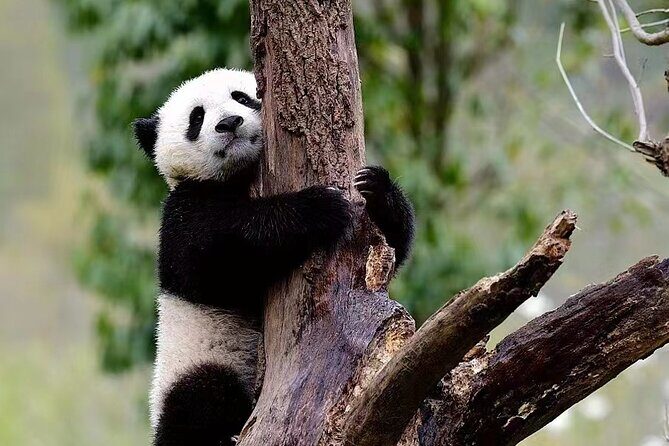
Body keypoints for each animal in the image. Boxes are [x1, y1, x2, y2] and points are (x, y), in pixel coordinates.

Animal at [132, 68, 415, 446]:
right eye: (197, 118)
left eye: (241, 97)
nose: (229, 123)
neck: (235, 179)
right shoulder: (181, 217)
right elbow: (222, 250)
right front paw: (319, 207)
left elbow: (393, 247)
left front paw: (377, 188)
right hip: (197, 362)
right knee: (202, 398)